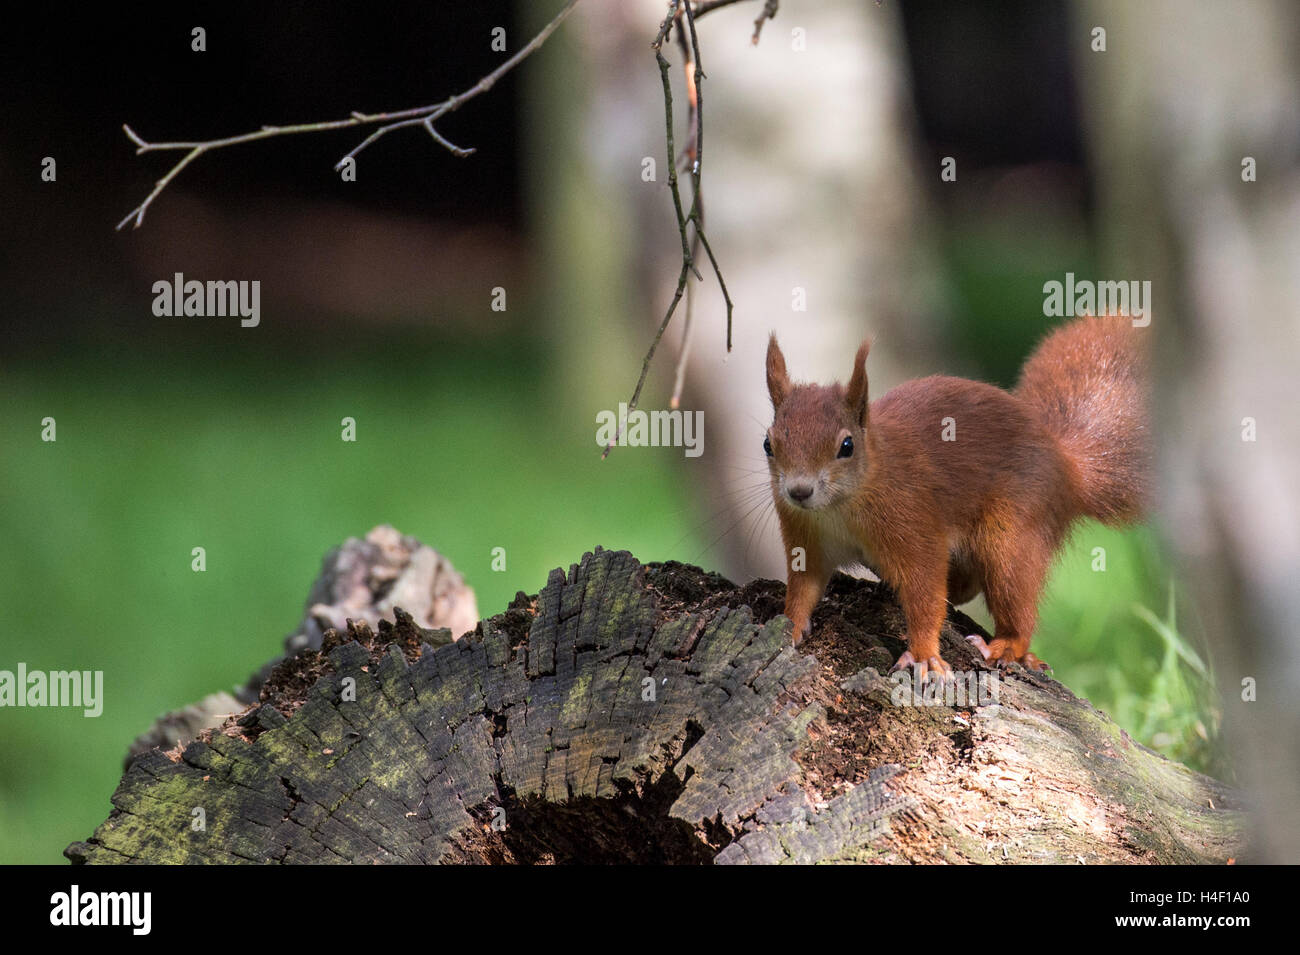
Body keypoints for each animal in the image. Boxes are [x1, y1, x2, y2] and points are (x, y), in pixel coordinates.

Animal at [763, 314, 1150, 678]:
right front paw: (789, 626)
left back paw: (1007, 647)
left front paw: (923, 655)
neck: (839, 508)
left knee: (1015, 596)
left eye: (847, 446)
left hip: (1014, 530)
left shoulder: (912, 523)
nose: (799, 491)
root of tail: (1068, 467)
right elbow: (804, 586)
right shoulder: (805, 538)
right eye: (768, 443)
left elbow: (925, 593)